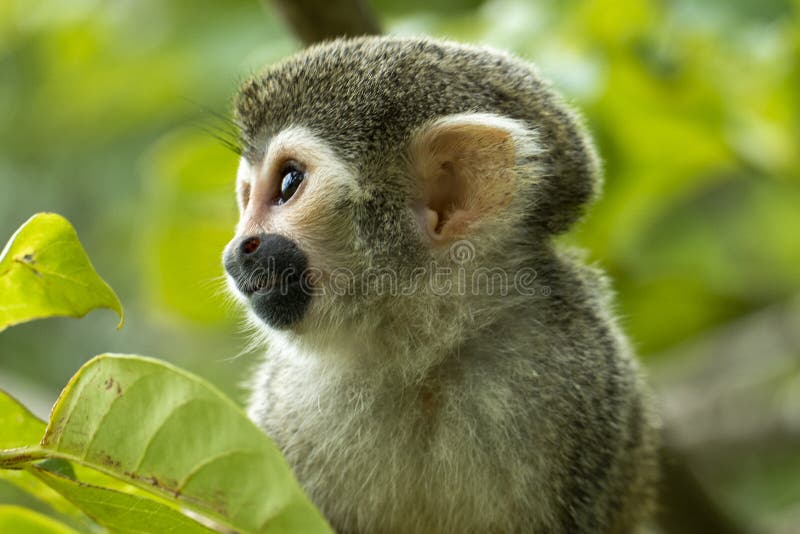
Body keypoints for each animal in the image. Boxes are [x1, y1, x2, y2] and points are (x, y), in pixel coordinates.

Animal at [222, 36, 659, 533]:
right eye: (246, 196)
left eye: (289, 183)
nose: (235, 251)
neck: (422, 355)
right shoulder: (286, 404)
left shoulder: (583, 381)